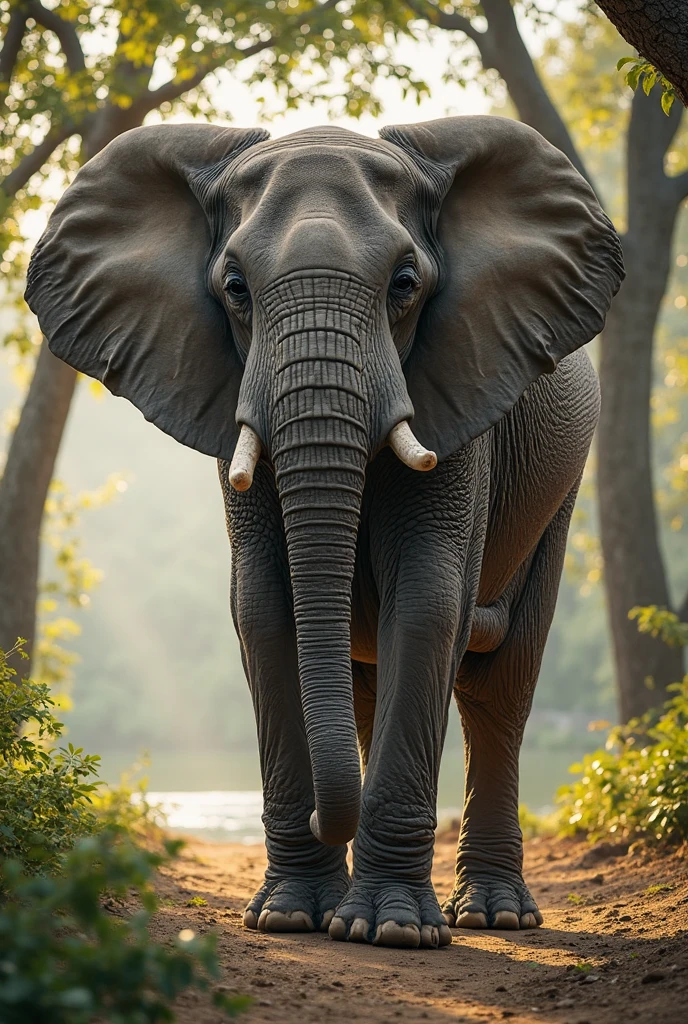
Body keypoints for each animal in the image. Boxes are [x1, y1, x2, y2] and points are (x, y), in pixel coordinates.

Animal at [26, 116, 623, 950]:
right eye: (235, 289)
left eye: (405, 285)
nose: (317, 817)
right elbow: (261, 607)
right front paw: (289, 916)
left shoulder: (461, 400)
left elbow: (429, 601)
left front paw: (393, 931)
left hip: (562, 491)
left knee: (499, 690)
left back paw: (494, 914)